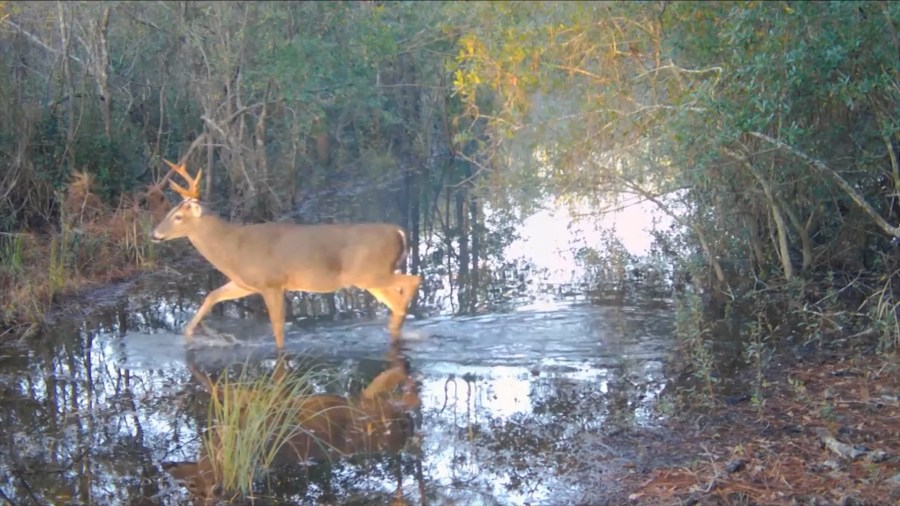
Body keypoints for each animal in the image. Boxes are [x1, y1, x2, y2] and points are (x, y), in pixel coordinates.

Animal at [150, 159, 421, 349]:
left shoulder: (272, 283)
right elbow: (212, 295)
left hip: (371, 272)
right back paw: (396, 329)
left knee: (412, 281)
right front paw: (188, 336)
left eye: (178, 216)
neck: (233, 248)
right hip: (371, 278)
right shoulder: (245, 283)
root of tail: (398, 231)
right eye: (169, 212)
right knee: (398, 298)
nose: (154, 234)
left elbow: (278, 326)